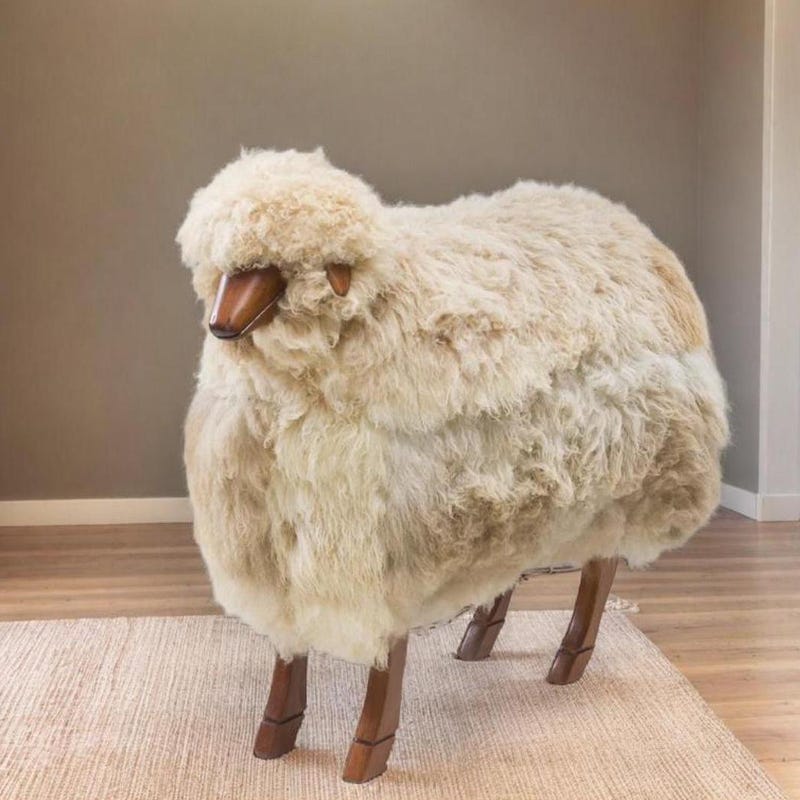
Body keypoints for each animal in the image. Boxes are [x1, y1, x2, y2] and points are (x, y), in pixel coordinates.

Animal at [177, 148, 728, 782]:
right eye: (227, 270)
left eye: (269, 268)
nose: (221, 326)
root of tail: (627, 226)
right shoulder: (280, 540)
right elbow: (288, 656)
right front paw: (274, 736)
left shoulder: (383, 549)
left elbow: (382, 665)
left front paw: (367, 753)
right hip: (516, 488)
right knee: (511, 564)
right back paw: (480, 638)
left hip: (624, 477)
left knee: (600, 571)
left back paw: (569, 660)